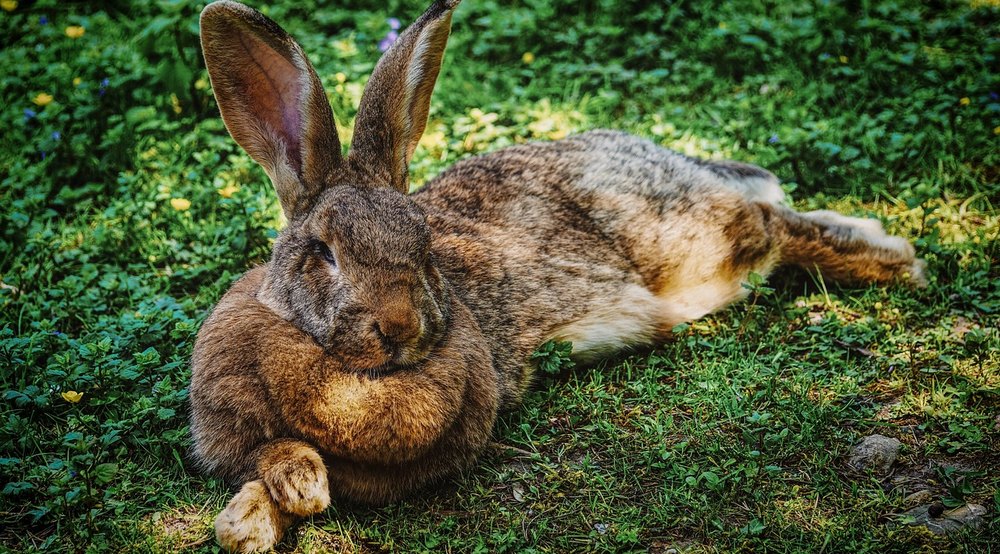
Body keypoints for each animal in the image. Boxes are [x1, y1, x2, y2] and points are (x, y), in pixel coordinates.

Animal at [190, 0, 927, 551]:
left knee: (773, 225)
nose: (399, 328)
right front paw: (258, 516)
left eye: (424, 246)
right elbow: (266, 467)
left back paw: (895, 259)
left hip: (690, 240)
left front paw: (275, 504)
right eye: (323, 252)